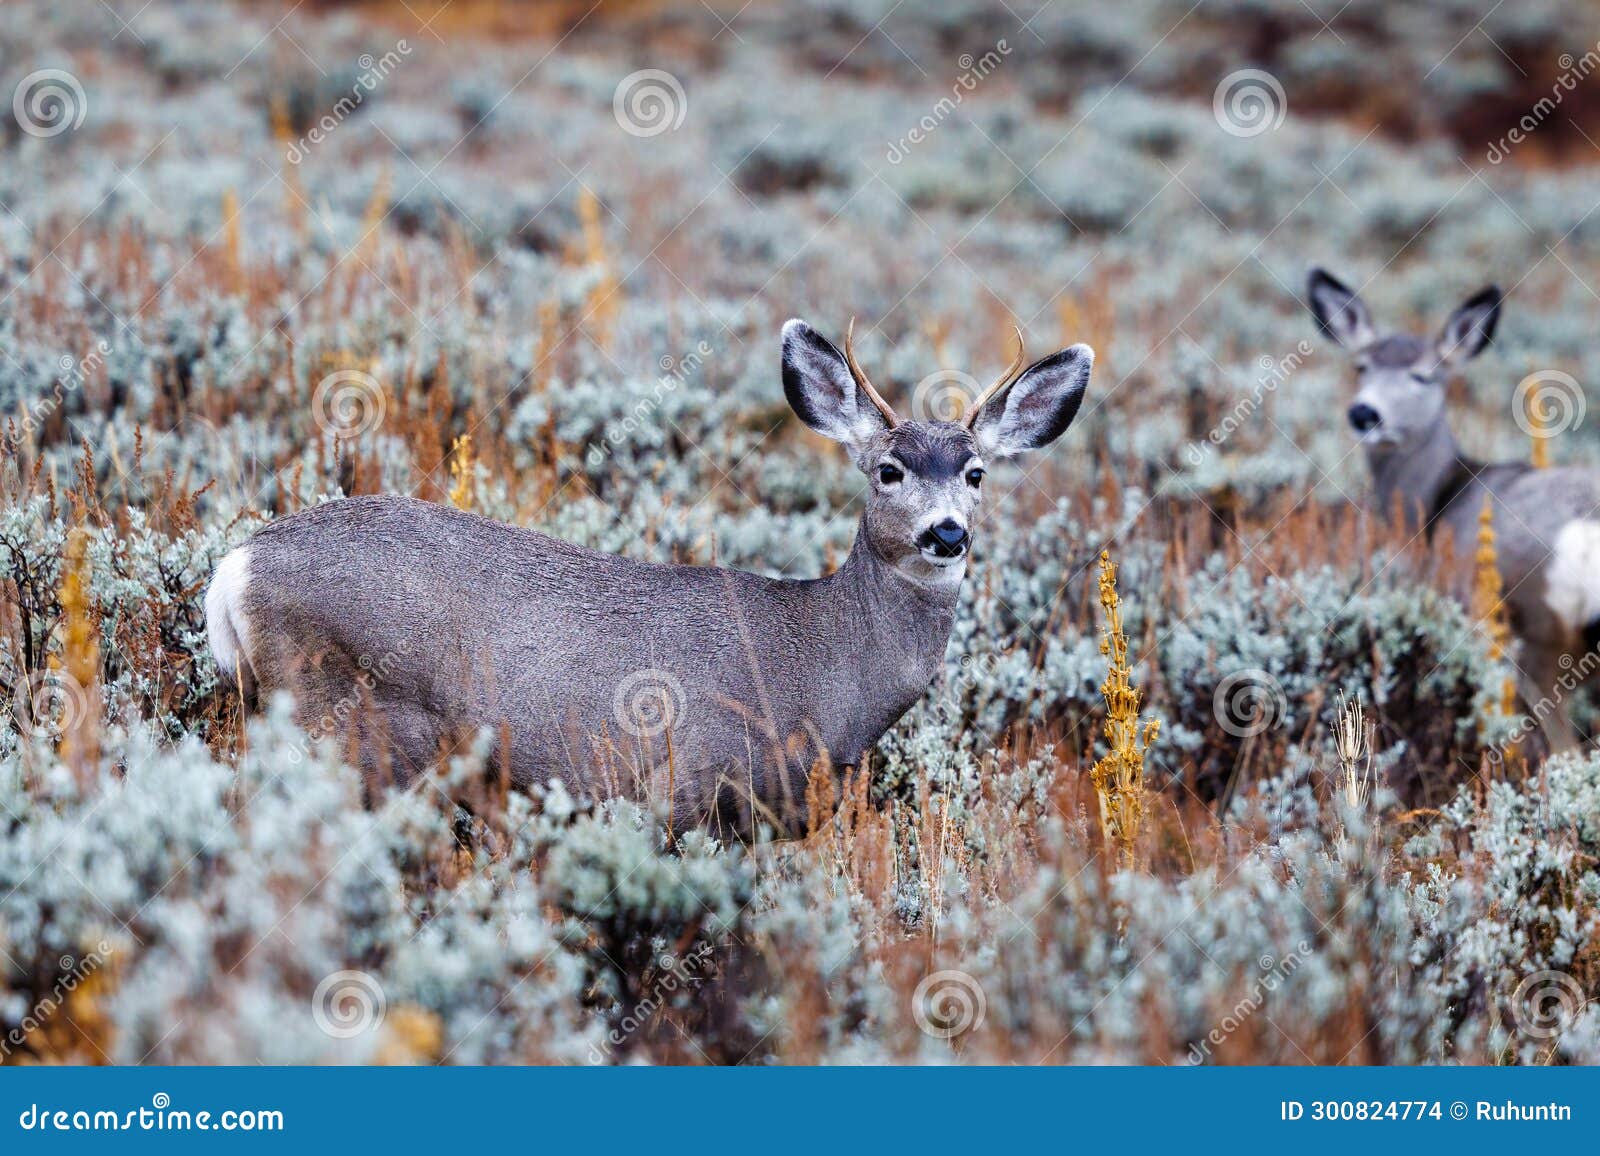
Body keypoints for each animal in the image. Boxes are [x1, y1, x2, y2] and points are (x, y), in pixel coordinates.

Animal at [206, 319, 1093, 837]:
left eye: (976, 474)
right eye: (888, 470)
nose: (946, 533)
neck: (821, 670)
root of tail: (234, 568)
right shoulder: (684, 776)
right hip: (344, 719)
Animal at [1306, 268, 1600, 751]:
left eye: (1423, 376)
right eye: (1361, 367)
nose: (1365, 413)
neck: (1439, 500)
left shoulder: (1470, 611)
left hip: (1542, 634)